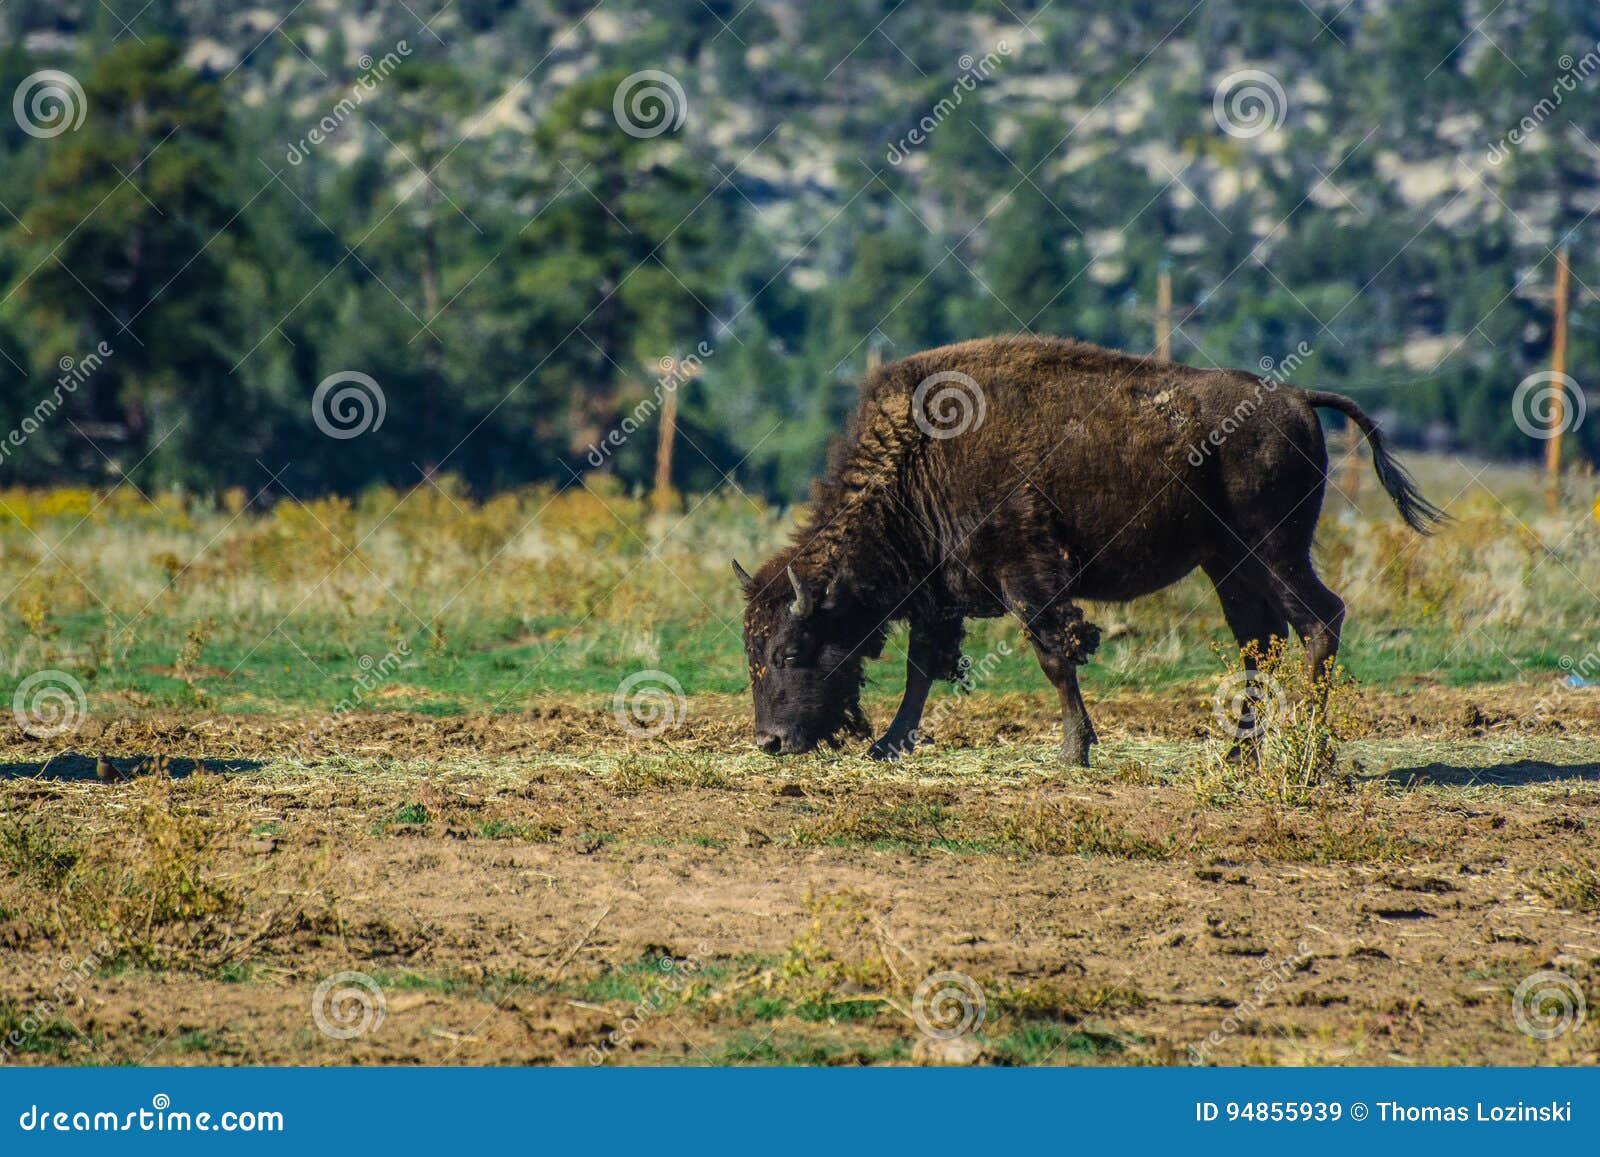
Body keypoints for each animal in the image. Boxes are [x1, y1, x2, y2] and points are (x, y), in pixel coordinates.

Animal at [733, 335, 1444, 765]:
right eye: (750, 651)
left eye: (789, 651)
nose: (770, 741)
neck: (922, 458)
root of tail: (1296, 397)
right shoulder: (940, 595)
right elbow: (921, 669)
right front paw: (889, 744)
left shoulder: (1029, 579)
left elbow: (1054, 657)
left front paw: (1076, 750)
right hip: (1229, 565)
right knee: (1258, 643)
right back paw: (1240, 753)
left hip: (1276, 550)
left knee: (1319, 622)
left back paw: (1312, 753)